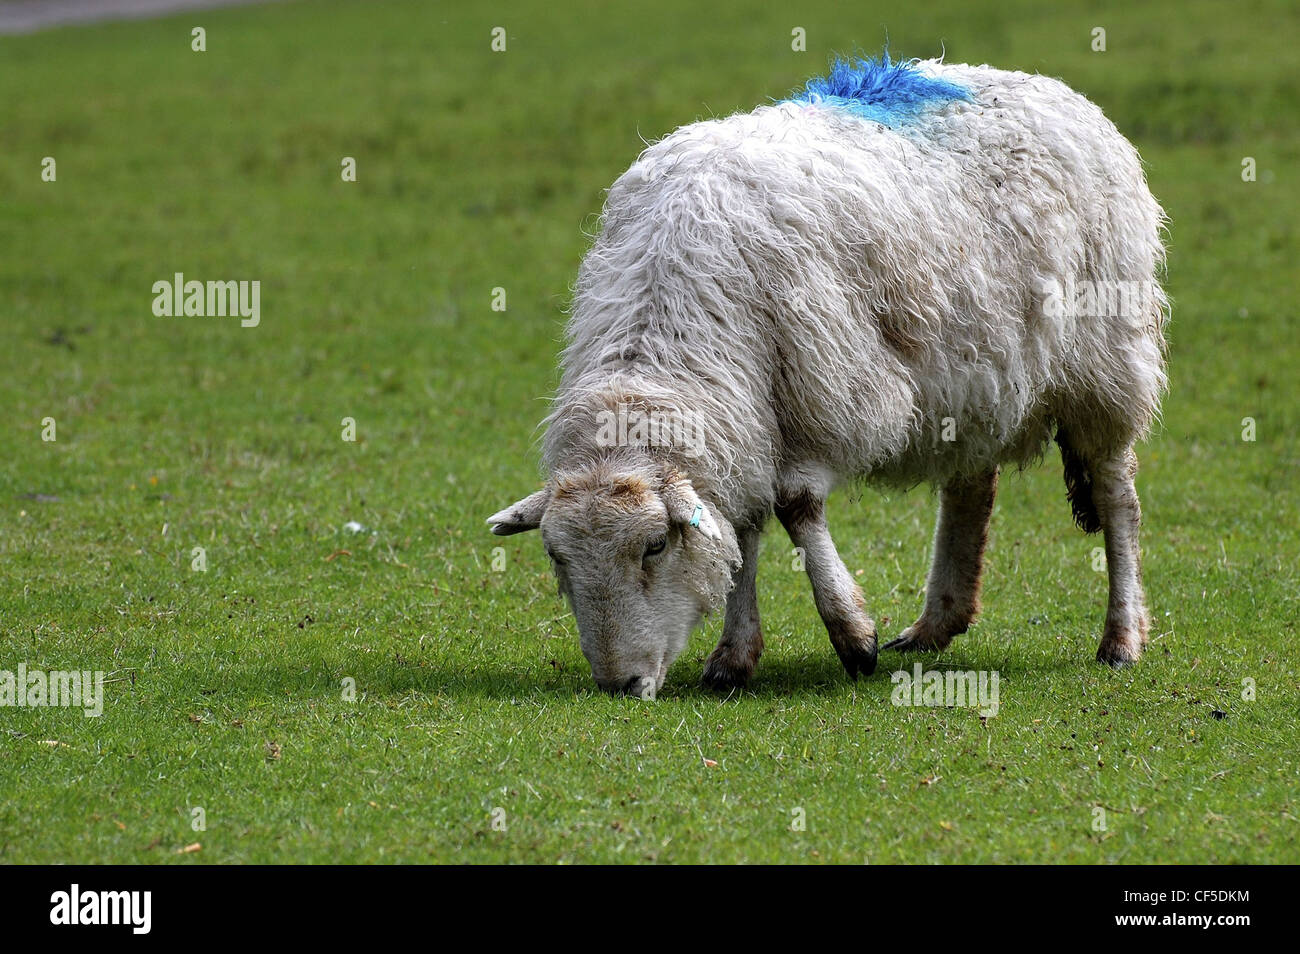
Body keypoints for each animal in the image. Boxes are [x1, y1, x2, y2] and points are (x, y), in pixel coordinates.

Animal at [490, 55, 1169, 698]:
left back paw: (1121, 638)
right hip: (975, 369)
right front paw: (734, 658)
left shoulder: (819, 390)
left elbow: (793, 505)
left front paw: (852, 635)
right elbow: (742, 527)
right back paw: (936, 623)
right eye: (557, 557)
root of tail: (1048, 86)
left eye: (655, 546)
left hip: (1106, 359)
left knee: (1118, 495)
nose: (619, 686)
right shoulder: (750, 416)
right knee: (972, 485)